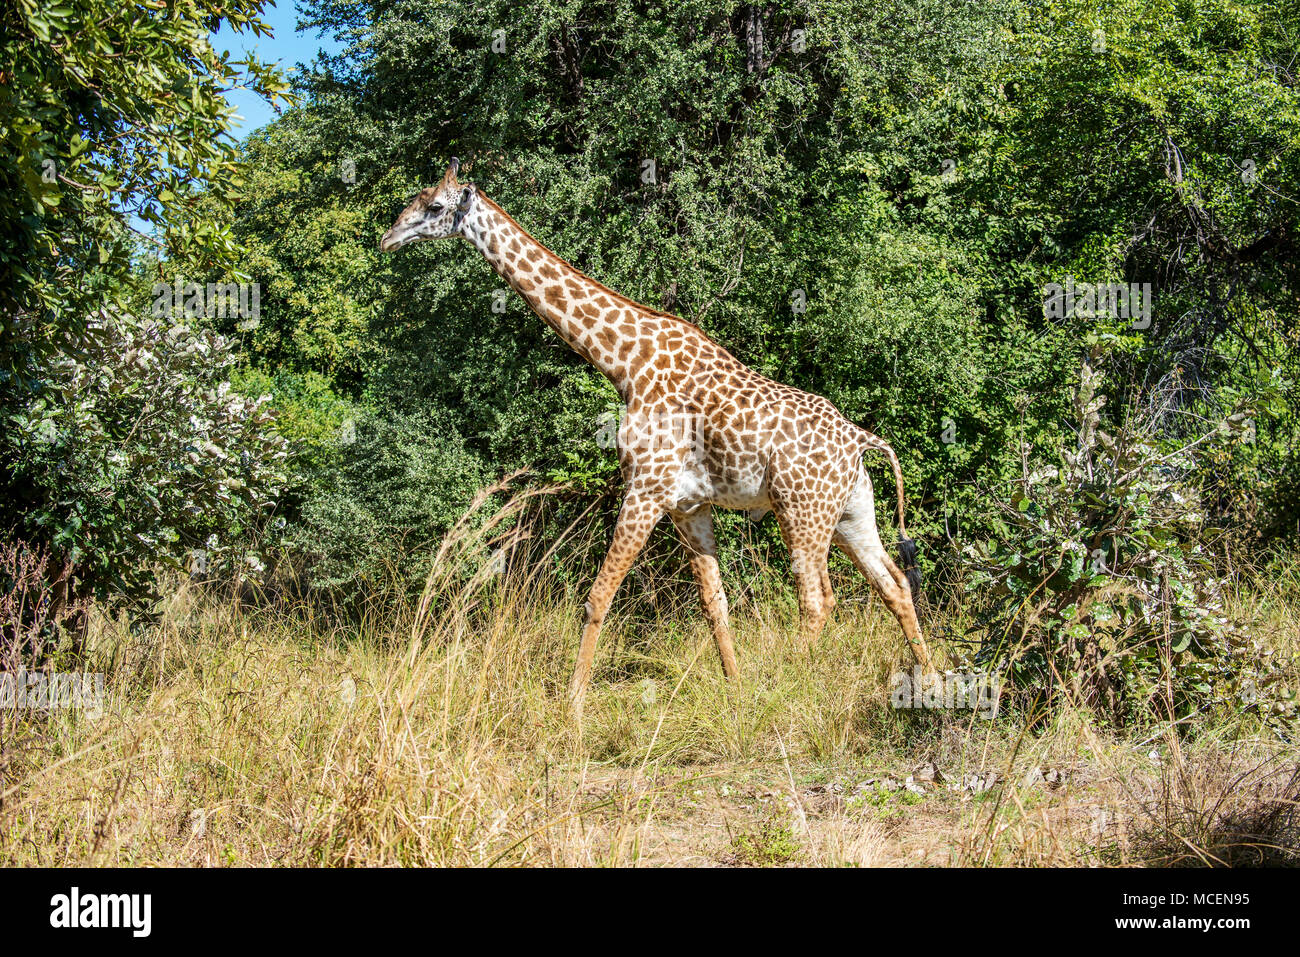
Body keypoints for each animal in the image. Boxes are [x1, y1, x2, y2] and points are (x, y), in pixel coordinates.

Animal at [381, 159, 937, 714]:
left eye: (433, 205)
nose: (387, 238)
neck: (624, 361)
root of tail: (862, 441)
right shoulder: (688, 505)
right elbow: (715, 602)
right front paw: (734, 689)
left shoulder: (645, 490)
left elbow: (599, 595)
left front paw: (573, 705)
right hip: (851, 514)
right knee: (894, 586)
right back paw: (929, 681)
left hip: (802, 513)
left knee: (819, 600)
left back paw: (789, 685)